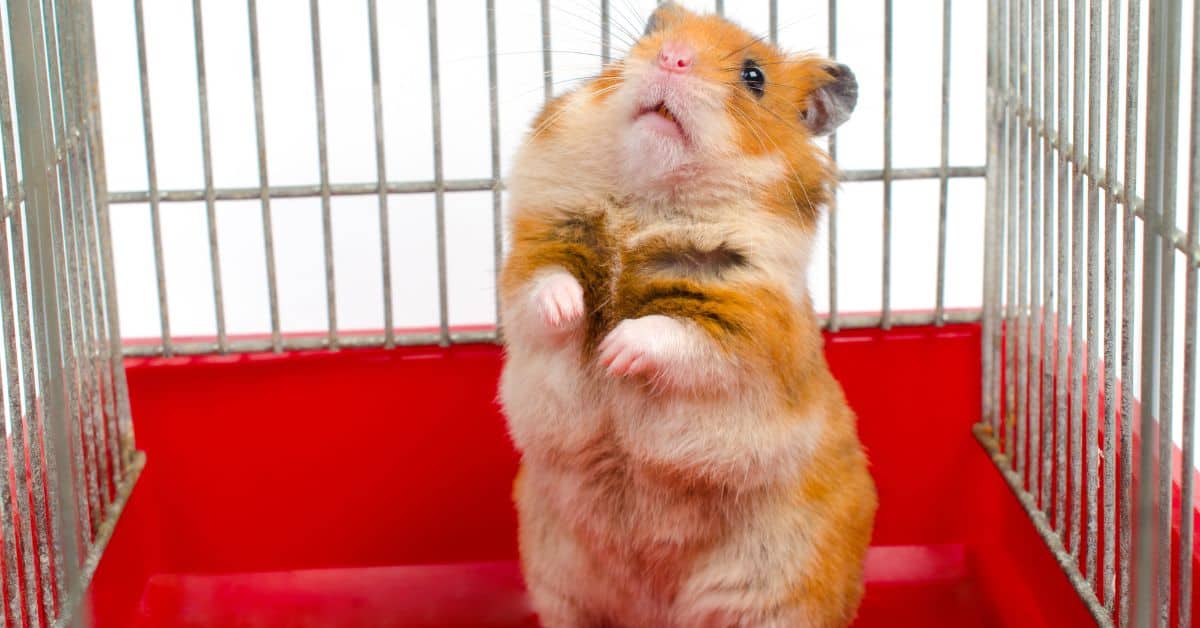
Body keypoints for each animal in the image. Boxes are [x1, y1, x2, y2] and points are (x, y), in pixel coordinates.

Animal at [497, 4, 877, 627]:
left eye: (754, 77)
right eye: (652, 35)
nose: (672, 57)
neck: (649, 203)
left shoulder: (745, 324)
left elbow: (674, 334)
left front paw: (615, 353)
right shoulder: (536, 250)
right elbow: (544, 288)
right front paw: (574, 313)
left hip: (773, 601)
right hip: (560, 584)